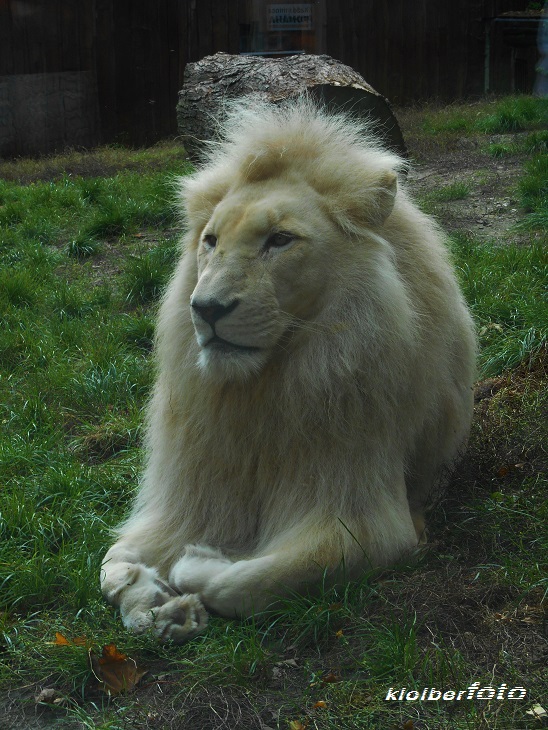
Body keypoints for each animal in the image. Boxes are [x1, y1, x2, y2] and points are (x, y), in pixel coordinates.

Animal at [101, 99, 476, 642]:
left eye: (280, 240)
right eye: (210, 241)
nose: (207, 308)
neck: (262, 389)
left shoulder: (365, 515)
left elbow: (247, 581)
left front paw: (198, 564)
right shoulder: (191, 492)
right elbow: (111, 564)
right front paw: (156, 605)